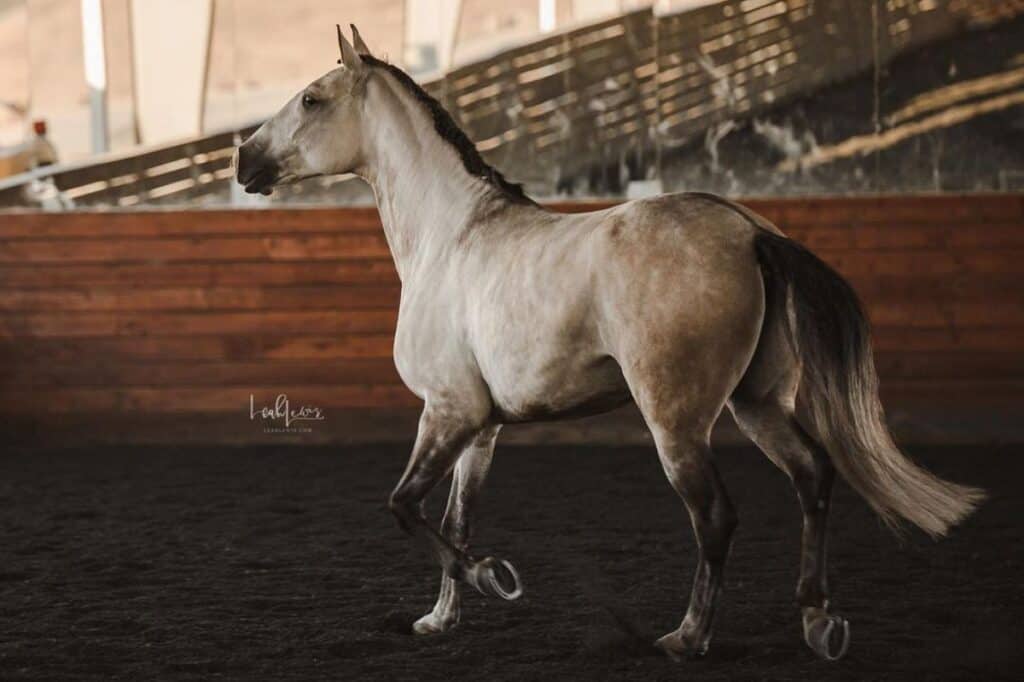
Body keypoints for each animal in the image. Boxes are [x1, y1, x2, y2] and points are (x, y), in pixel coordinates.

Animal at [233, 25, 984, 661]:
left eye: (311, 97)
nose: (244, 161)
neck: (452, 239)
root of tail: (749, 232)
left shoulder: (446, 411)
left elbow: (405, 506)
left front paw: (494, 578)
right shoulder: (480, 426)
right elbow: (455, 515)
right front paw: (441, 619)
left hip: (677, 422)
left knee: (716, 516)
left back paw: (687, 638)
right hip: (757, 404)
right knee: (814, 477)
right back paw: (818, 621)